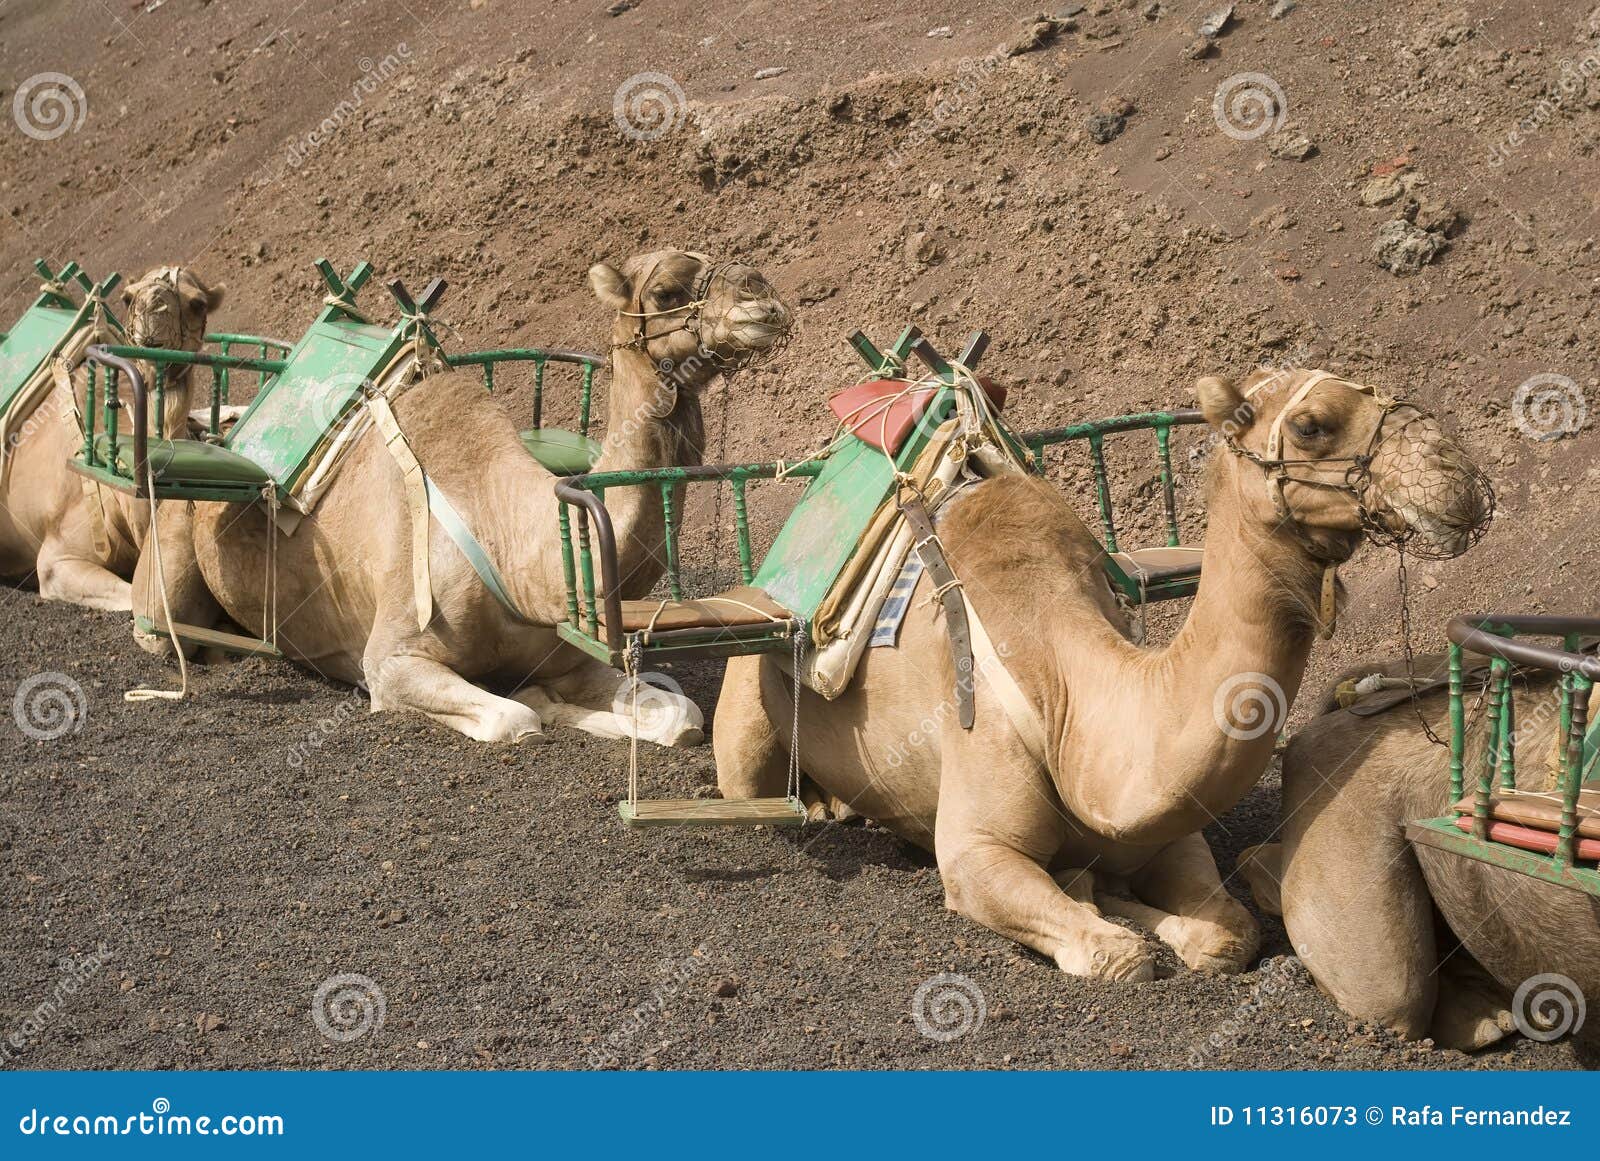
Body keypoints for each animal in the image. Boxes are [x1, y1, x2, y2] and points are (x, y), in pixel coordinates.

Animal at [132, 249, 791, 745]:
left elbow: (683, 716)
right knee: (157, 627)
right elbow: (515, 719)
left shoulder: (571, 657)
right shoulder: (390, 661)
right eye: (666, 289)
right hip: (167, 550)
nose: (763, 293)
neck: (511, 541)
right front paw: (541, 705)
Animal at [714, 368, 1491, 981]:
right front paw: (1107, 910)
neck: (1067, 691)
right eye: (1311, 423)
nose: (1456, 476)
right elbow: (1119, 953)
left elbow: (1229, 934)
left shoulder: (1169, 829)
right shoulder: (973, 848)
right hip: (745, 699)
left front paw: (1121, 898)